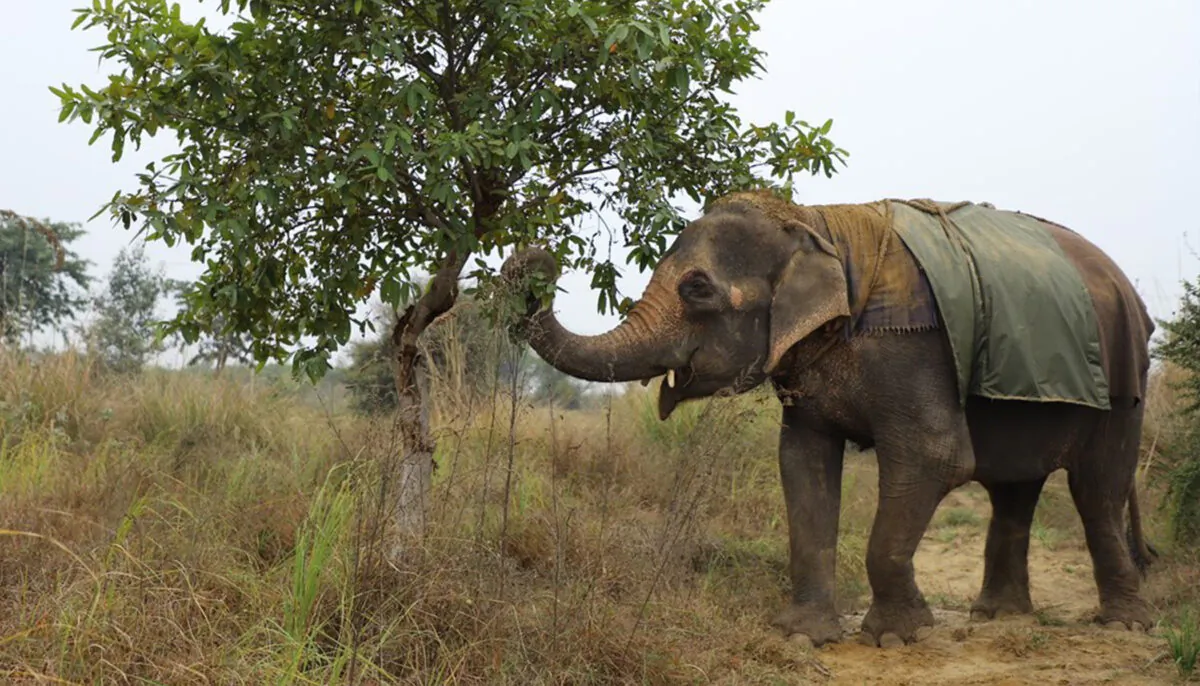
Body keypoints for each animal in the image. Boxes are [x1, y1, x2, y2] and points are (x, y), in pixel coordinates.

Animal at [500, 190, 1158, 648]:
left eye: (697, 289)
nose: (537, 257)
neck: (813, 225)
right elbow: (804, 463)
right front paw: (801, 635)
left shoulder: (913, 348)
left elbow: (935, 457)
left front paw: (899, 637)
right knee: (1013, 489)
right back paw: (999, 617)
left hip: (1126, 381)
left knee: (1096, 489)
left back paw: (1123, 627)